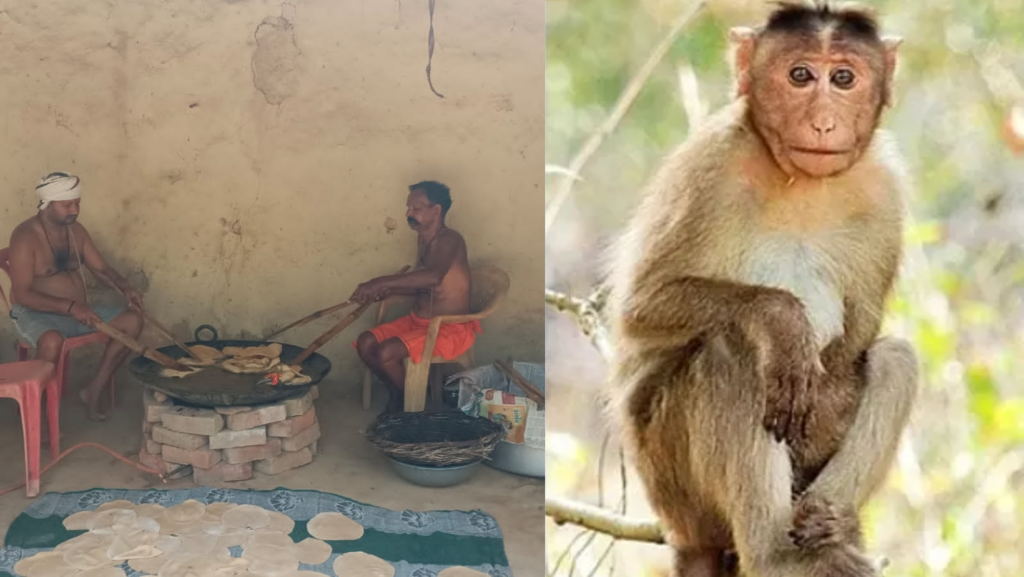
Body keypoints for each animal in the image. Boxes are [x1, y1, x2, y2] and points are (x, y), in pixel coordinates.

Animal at [601, 2, 920, 576]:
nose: (823, 121)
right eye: (800, 76)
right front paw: (782, 319)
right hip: (674, 483)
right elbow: (640, 310)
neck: (801, 182)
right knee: (731, 351)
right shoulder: (710, 165)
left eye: (844, 78)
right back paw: (776, 552)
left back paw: (831, 528)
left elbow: (858, 342)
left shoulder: (884, 189)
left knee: (895, 357)